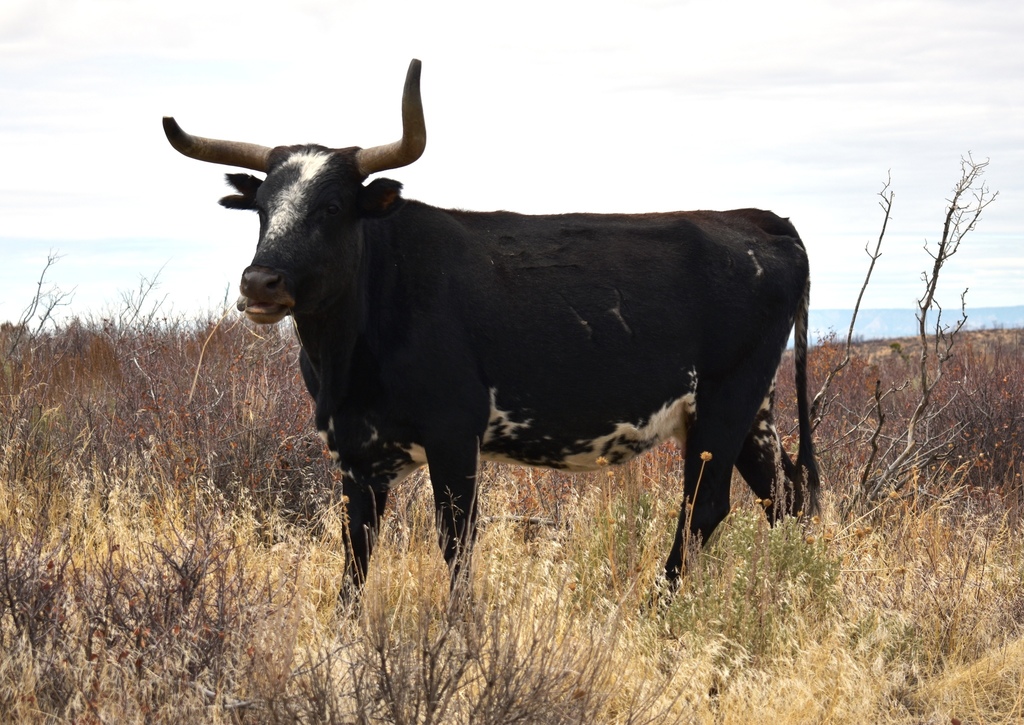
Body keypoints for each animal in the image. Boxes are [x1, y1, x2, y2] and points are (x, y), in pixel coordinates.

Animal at [163, 59, 820, 596]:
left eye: (332, 207)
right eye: (262, 209)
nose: (260, 283)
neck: (348, 355)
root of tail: (758, 220)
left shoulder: (455, 435)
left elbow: (456, 544)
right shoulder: (355, 452)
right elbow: (355, 554)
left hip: (724, 402)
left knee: (705, 506)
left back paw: (659, 606)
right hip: (752, 410)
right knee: (784, 496)